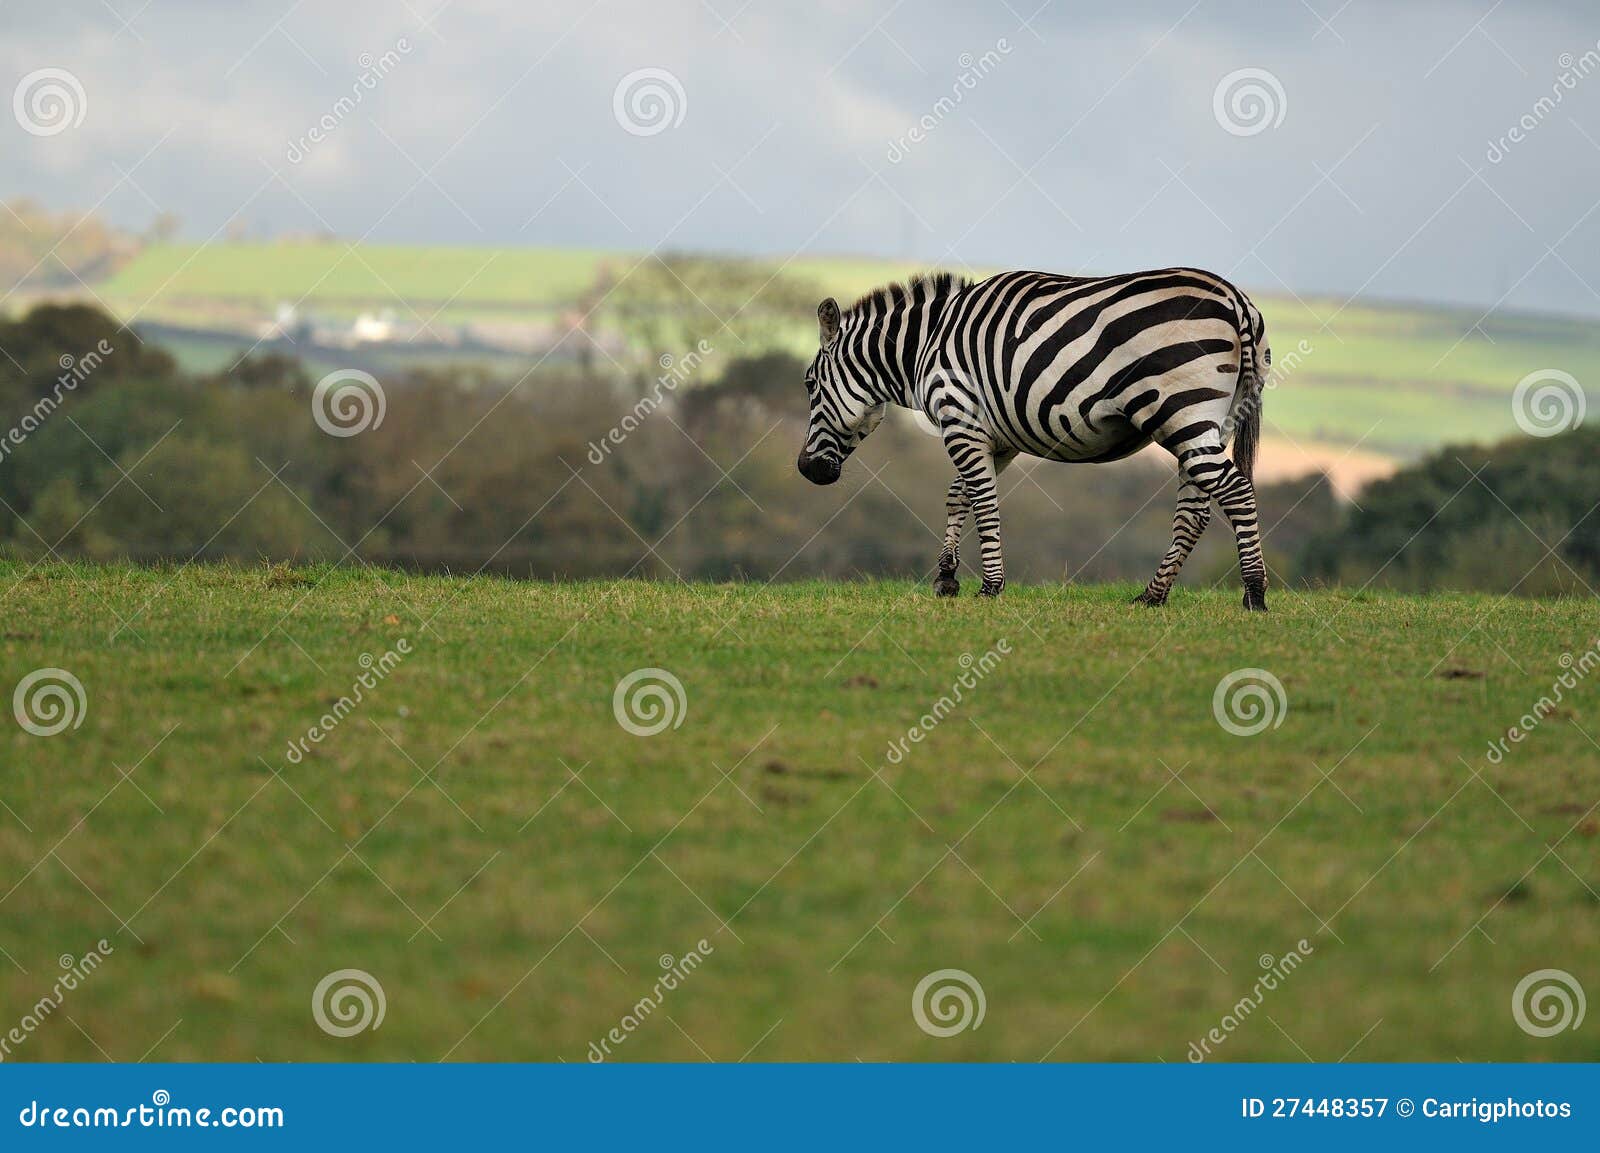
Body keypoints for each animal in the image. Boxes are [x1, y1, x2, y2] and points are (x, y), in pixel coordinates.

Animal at [796, 268, 1273, 610]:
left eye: (808, 384)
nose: (806, 469)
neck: (925, 346)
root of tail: (1237, 301)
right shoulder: (996, 437)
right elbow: (958, 496)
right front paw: (947, 576)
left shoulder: (960, 419)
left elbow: (983, 501)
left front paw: (990, 587)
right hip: (1210, 421)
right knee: (1195, 512)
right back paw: (1152, 596)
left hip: (1180, 412)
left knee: (1236, 491)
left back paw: (1254, 593)